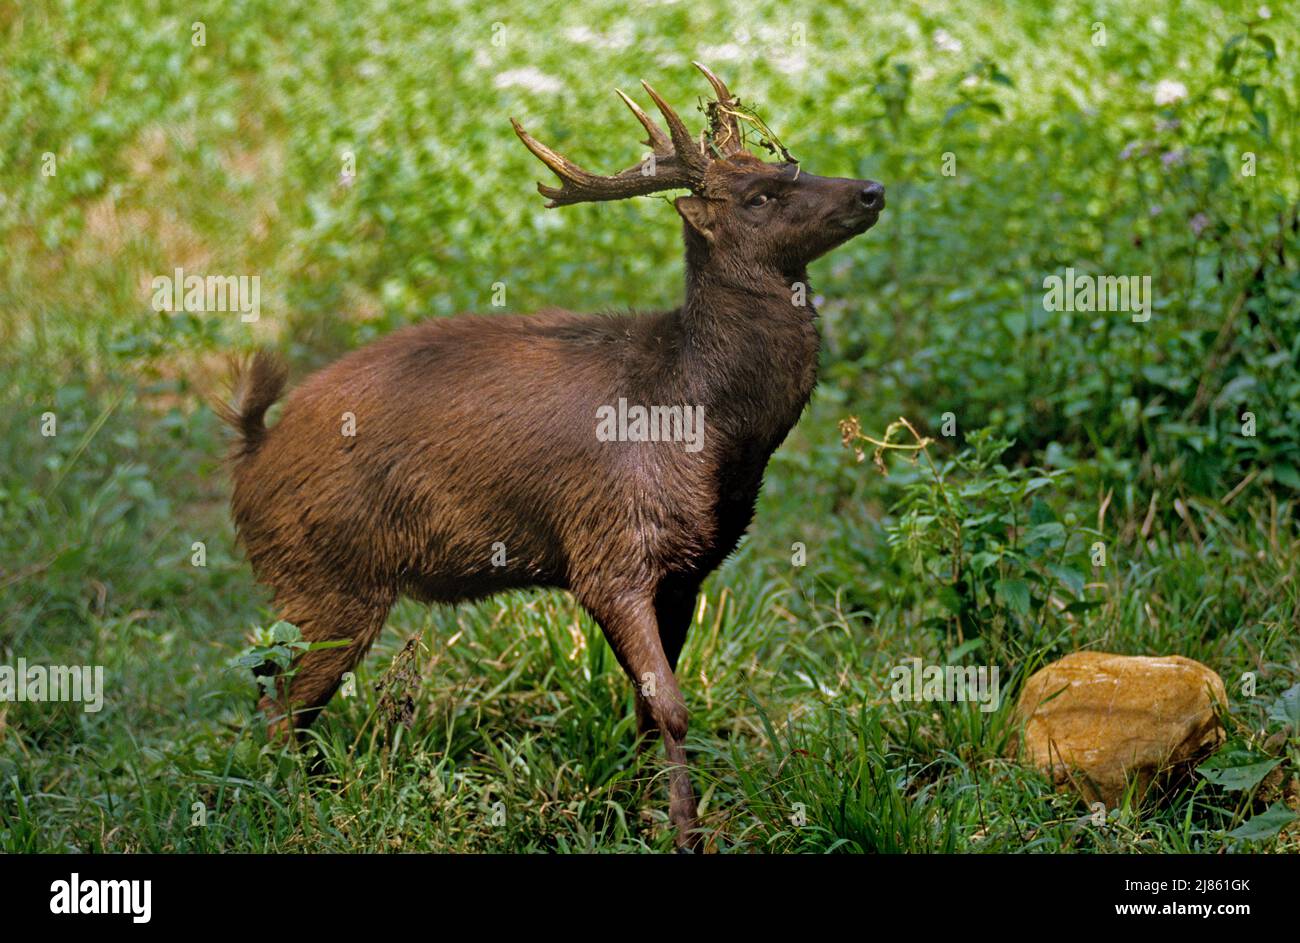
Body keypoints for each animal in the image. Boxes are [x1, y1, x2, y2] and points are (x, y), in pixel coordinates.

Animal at [220, 63, 884, 851]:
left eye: (792, 162)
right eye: (759, 196)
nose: (872, 190)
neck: (701, 417)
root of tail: (253, 452)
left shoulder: (688, 570)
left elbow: (644, 706)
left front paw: (637, 807)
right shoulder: (608, 553)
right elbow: (674, 705)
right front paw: (684, 832)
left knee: (282, 692)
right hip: (327, 574)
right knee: (280, 701)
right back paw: (296, 811)